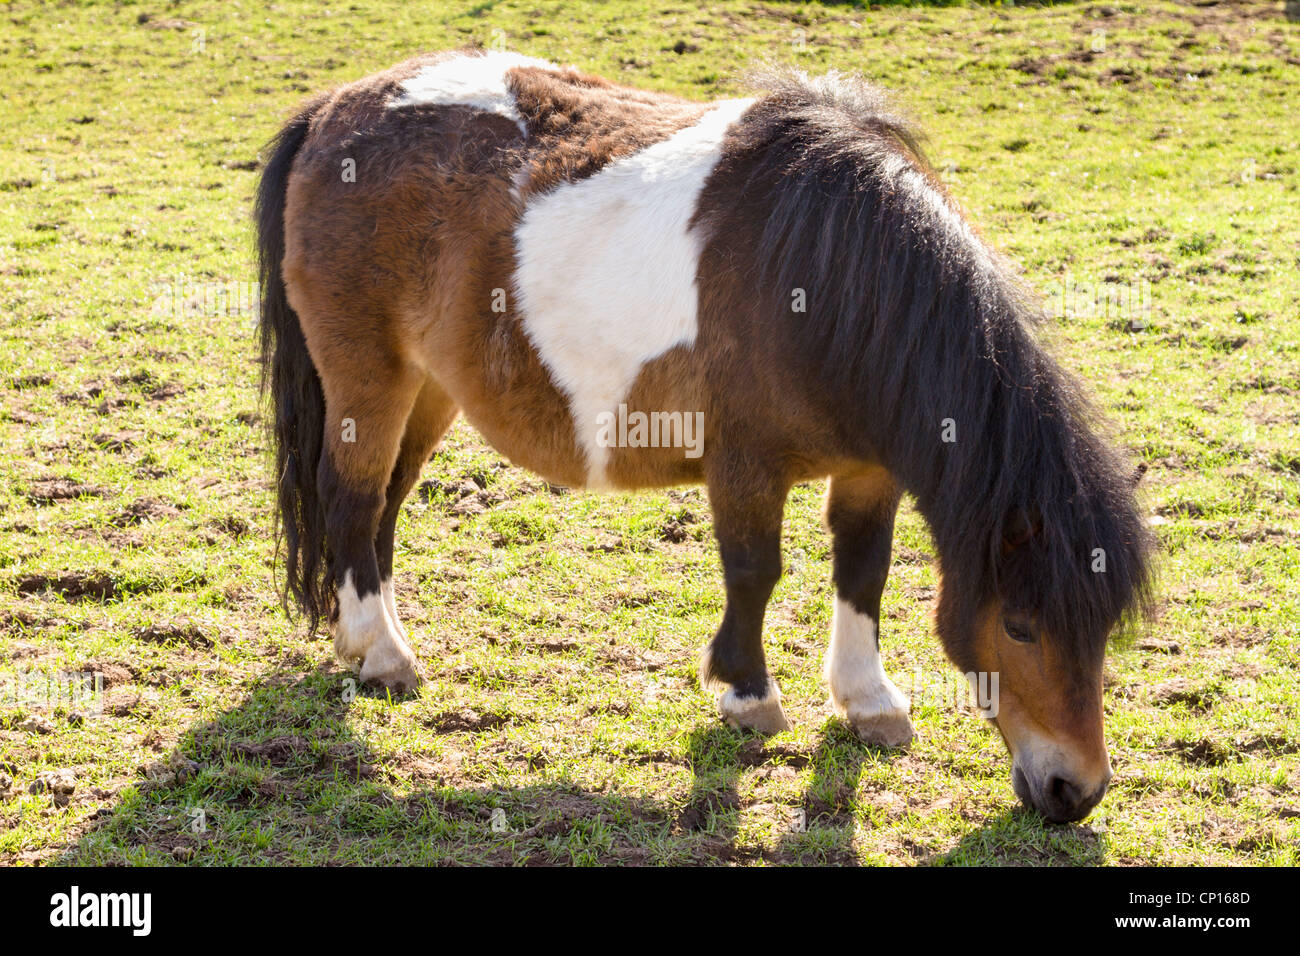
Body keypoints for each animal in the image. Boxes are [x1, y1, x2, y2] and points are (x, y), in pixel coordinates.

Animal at [255, 49, 1154, 823]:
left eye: (1107, 626)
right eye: (1022, 625)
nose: (1076, 792)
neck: (828, 278)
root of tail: (330, 112)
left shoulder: (871, 469)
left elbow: (863, 570)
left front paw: (868, 702)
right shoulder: (745, 463)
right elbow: (755, 571)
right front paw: (749, 696)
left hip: (431, 388)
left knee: (383, 508)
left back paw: (362, 640)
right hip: (369, 376)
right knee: (351, 498)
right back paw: (383, 655)